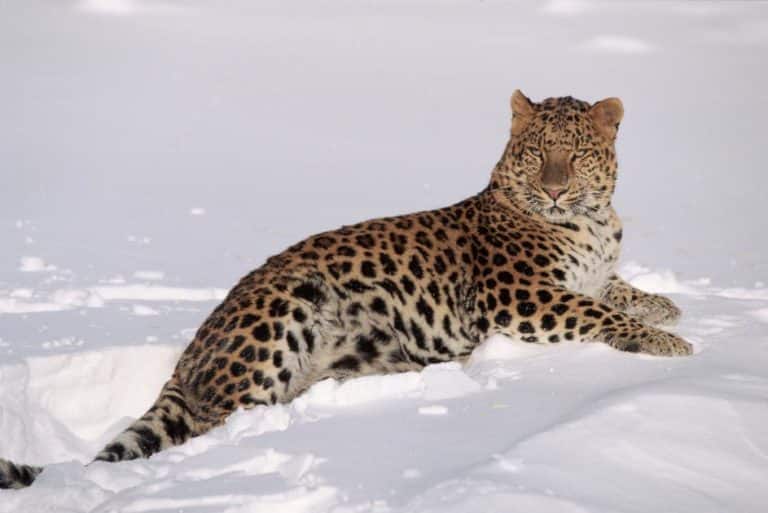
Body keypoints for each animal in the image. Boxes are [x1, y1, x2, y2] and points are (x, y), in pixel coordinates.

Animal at [0, 90, 691, 490]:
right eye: (535, 151)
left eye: (575, 154)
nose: (553, 188)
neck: (591, 220)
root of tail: (192, 350)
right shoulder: (520, 297)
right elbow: (594, 312)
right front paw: (670, 344)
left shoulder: (591, 272)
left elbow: (615, 290)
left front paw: (666, 305)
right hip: (285, 309)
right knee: (213, 423)